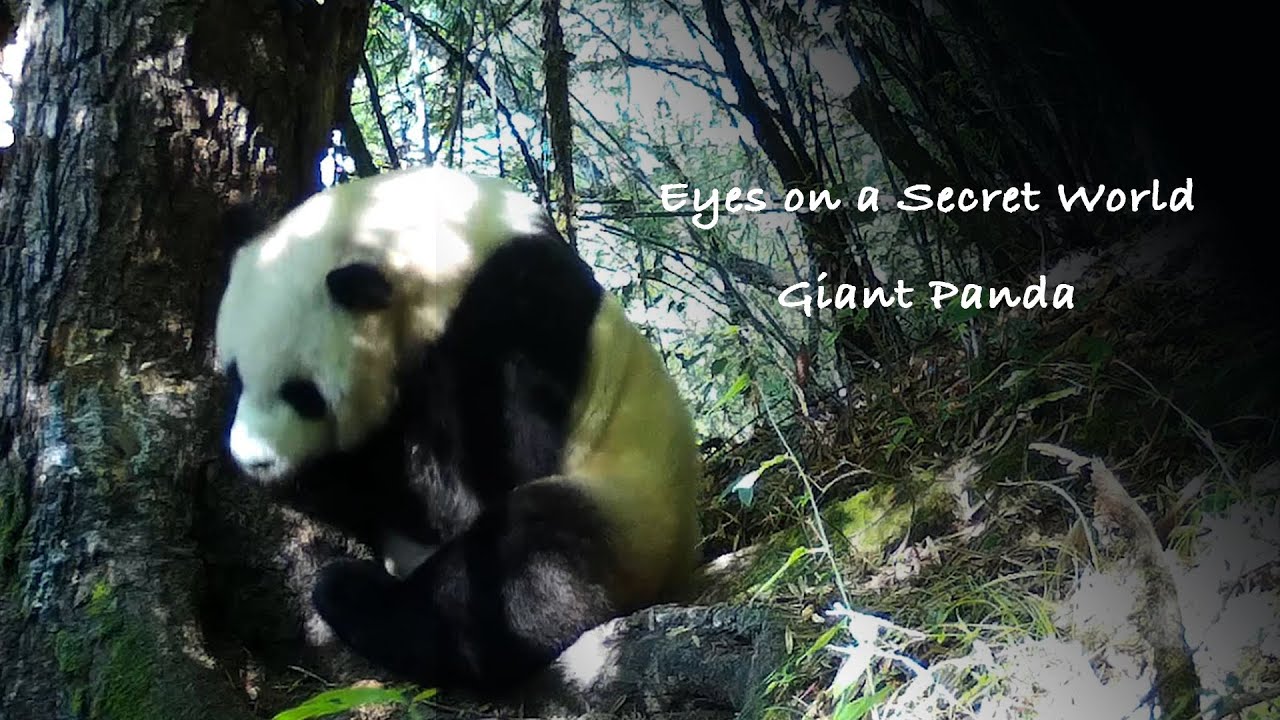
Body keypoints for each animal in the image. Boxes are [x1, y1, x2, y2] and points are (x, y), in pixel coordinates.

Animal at [214, 166, 702, 690]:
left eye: (302, 393)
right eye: (235, 375)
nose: (254, 460)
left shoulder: (516, 318)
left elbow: (474, 484)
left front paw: (329, 474)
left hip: (628, 510)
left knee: (524, 562)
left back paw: (355, 596)